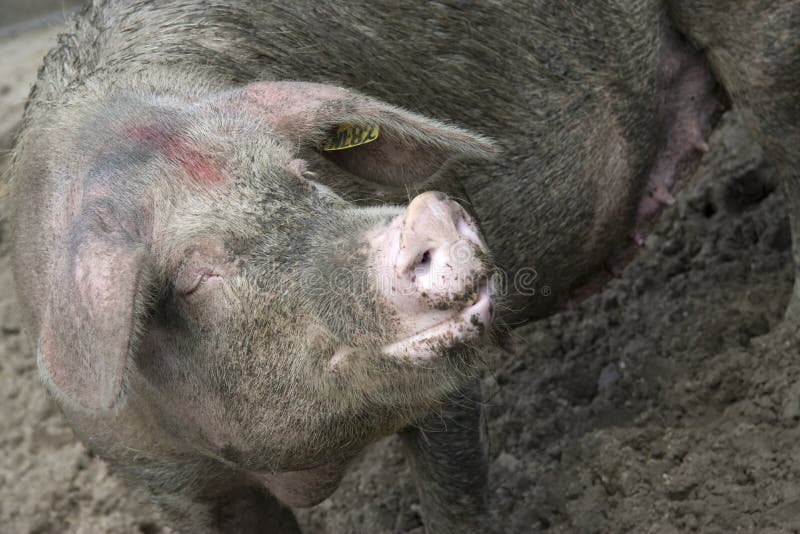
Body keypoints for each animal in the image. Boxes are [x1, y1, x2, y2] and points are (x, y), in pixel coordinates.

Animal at [6, 0, 799, 532]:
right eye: (193, 275)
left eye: (310, 176)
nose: (423, 215)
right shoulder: (165, 479)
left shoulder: (449, 393)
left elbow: (456, 500)